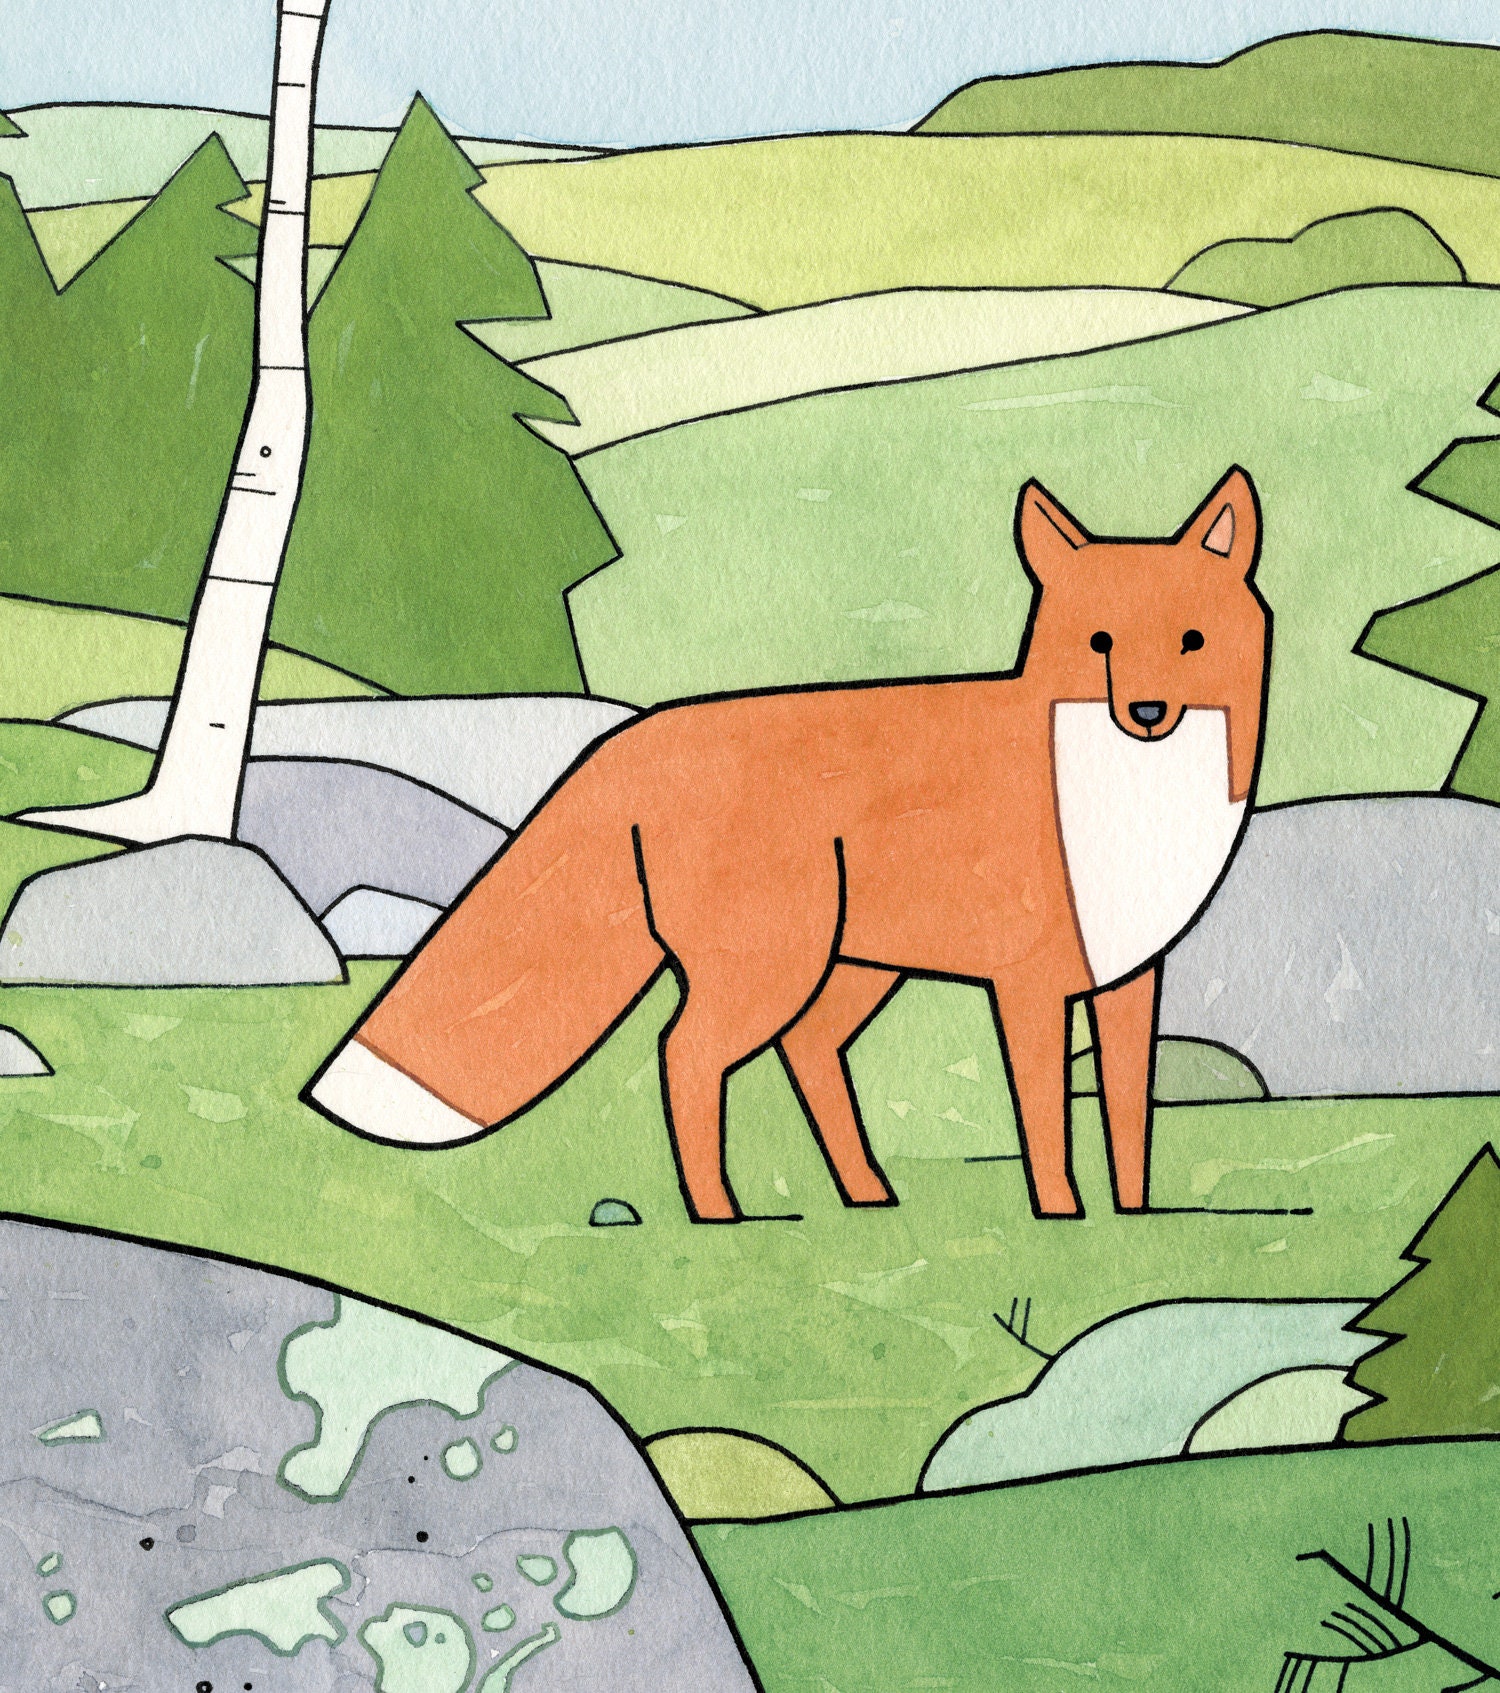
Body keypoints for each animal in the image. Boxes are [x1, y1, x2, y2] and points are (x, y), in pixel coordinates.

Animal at [305, 467, 1269, 1223]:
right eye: (1099, 642)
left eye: (1190, 640)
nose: (1145, 711)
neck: (1119, 802)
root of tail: (636, 735)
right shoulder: (1027, 982)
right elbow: (1044, 1117)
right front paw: (1063, 1217)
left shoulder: (1128, 978)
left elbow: (1129, 1115)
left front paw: (1134, 1216)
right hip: (774, 964)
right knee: (686, 1054)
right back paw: (720, 1213)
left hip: (849, 967)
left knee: (805, 1051)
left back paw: (866, 1194)